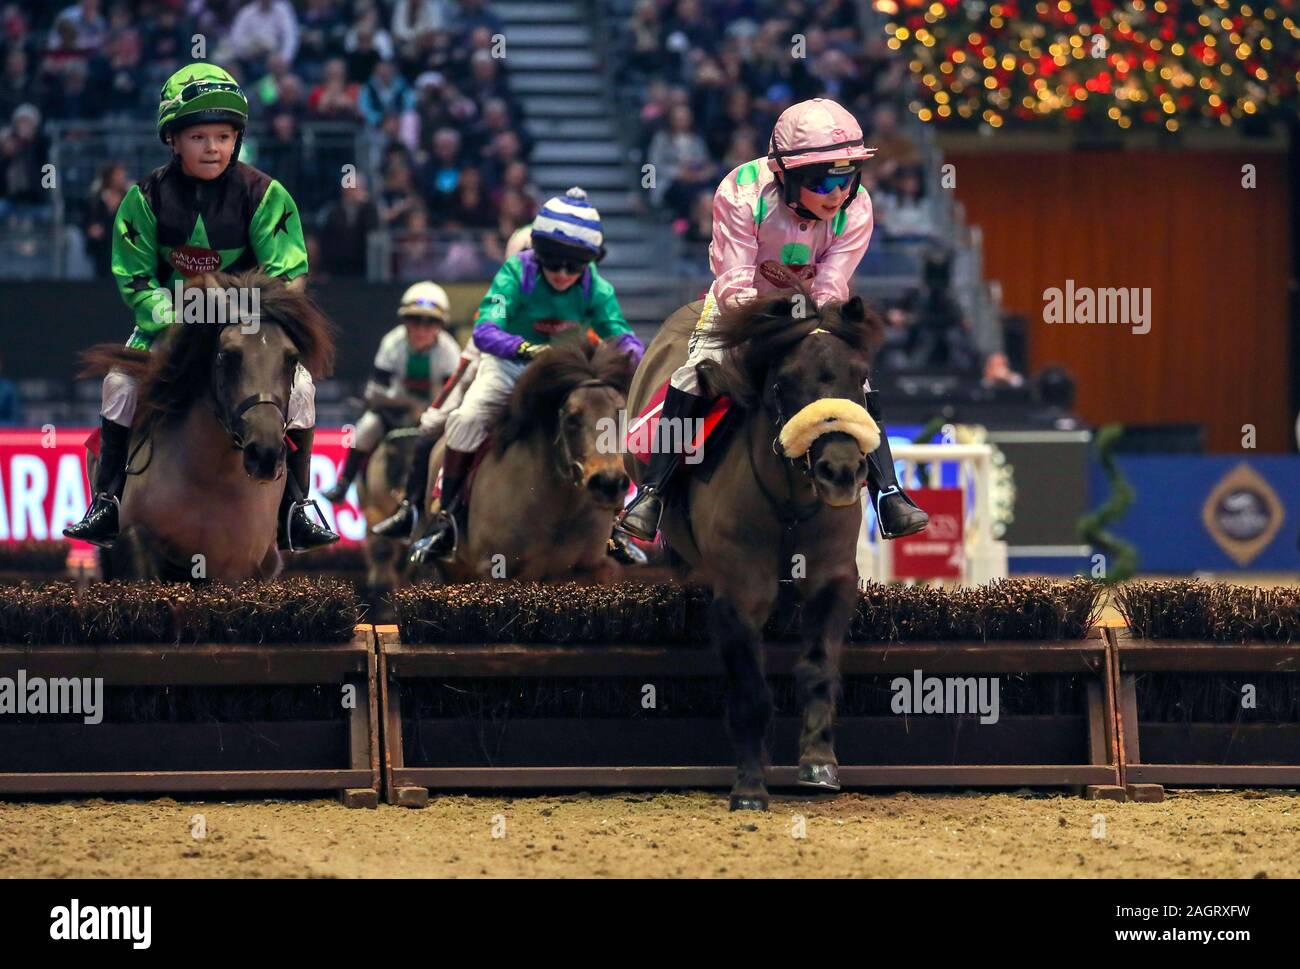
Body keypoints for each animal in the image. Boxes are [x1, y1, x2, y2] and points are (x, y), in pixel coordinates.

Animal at [422, 340, 635, 582]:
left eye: (621, 414)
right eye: (571, 418)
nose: (609, 483)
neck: (559, 512)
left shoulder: (589, 567)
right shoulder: (494, 569)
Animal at [625, 292, 884, 810]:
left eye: (859, 377)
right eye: (783, 383)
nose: (840, 472)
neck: (789, 502)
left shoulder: (832, 577)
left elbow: (818, 667)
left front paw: (819, 762)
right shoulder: (740, 591)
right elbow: (751, 691)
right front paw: (748, 786)